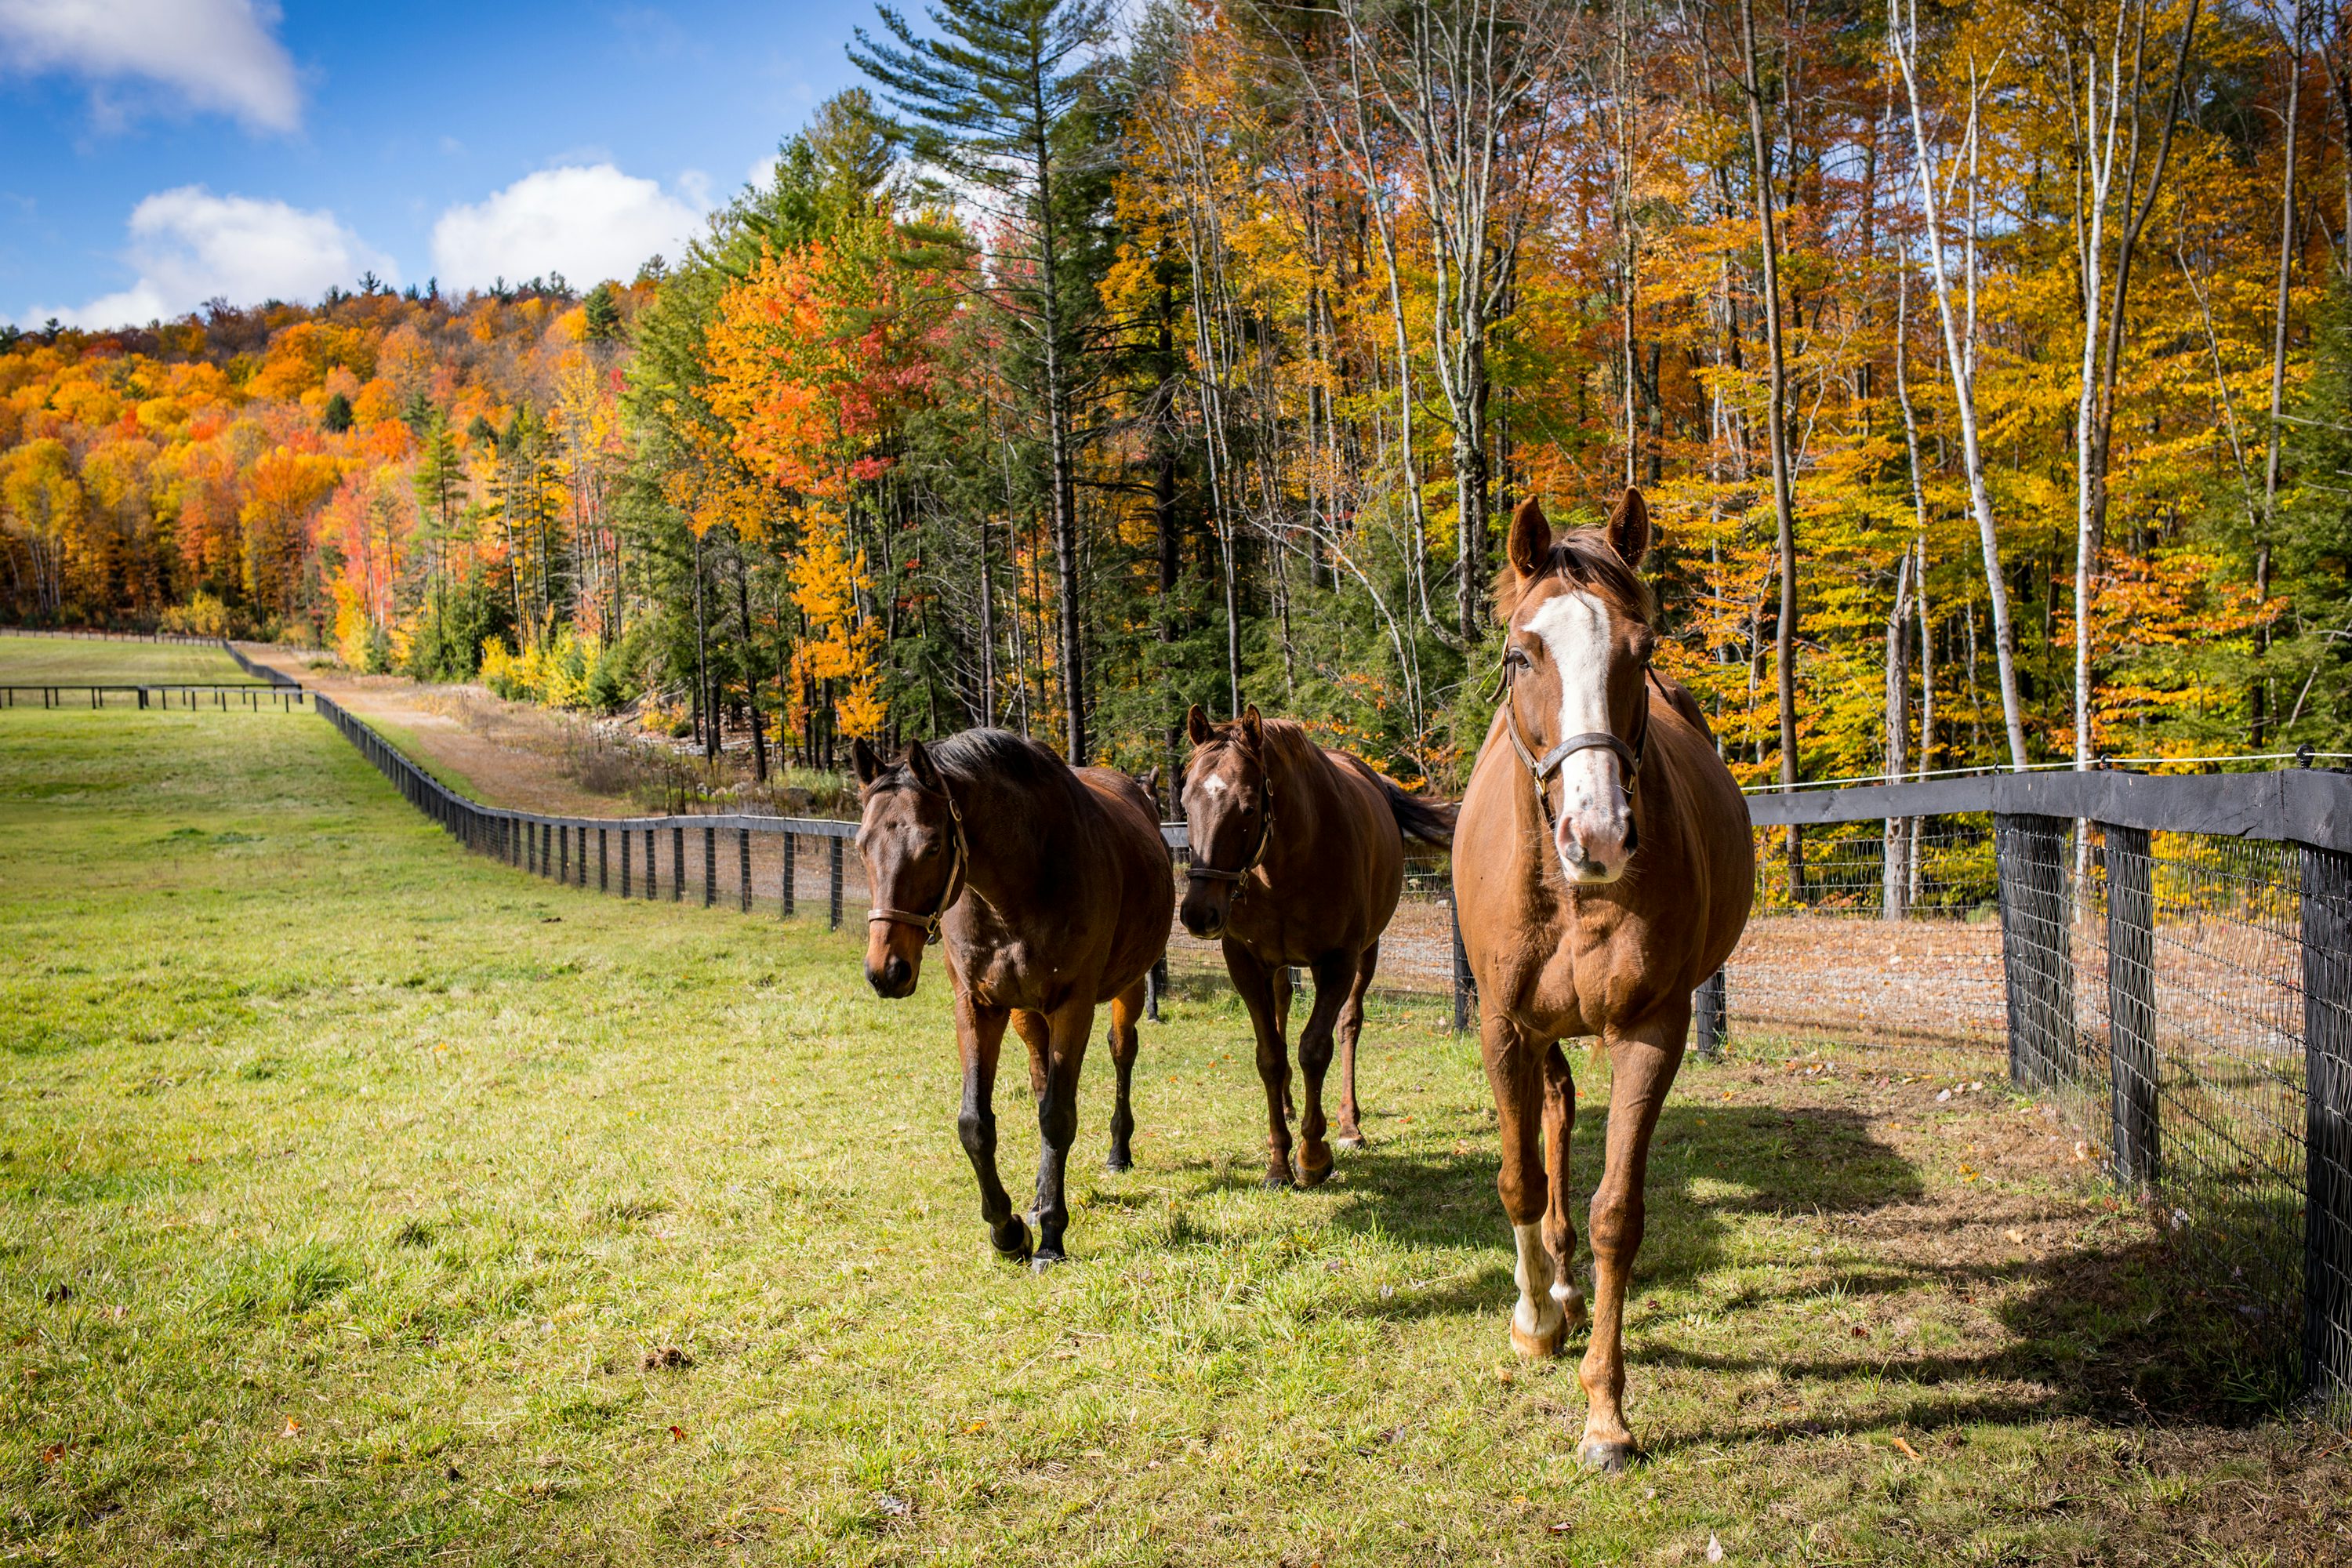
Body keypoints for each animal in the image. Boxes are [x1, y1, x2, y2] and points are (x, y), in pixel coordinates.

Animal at [852, 730, 1172, 1269]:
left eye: (933, 845)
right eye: (861, 847)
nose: (886, 971)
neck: (1022, 881)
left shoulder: (1074, 1006)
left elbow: (1057, 1117)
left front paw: (1051, 1236)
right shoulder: (979, 1005)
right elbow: (976, 1124)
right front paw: (1008, 1229)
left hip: (1126, 989)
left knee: (1121, 1053)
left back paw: (1117, 1151)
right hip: (1026, 1012)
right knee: (1042, 1078)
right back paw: (1042, 1193)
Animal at [1178, 705, 1457, 1188]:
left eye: (1248, 807)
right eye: (1184, 803)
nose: (1198, 913)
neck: (1285, 864)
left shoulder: (1338, 960)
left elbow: (1315, 1047)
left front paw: (1311, 1156)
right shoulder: (1244, 962)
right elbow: (1270, 1054)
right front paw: (1277, 1162)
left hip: (1367, 954)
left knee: (1348, 1025)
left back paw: (1349, 1125)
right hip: (1279, 967)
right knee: (1281, 1010)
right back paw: (1290, 1106)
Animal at [1452, 489, 1753, 1471]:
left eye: (1642, 650)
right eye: (1522, 652)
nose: (1600, 834)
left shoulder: (1652, 1030)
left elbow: (1618, 1212)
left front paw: (1607, 1414)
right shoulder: (1504, 1027)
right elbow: (1518, 1177)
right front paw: (1535, 1319)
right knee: (1547, 1123)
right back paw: (1548, 1286)